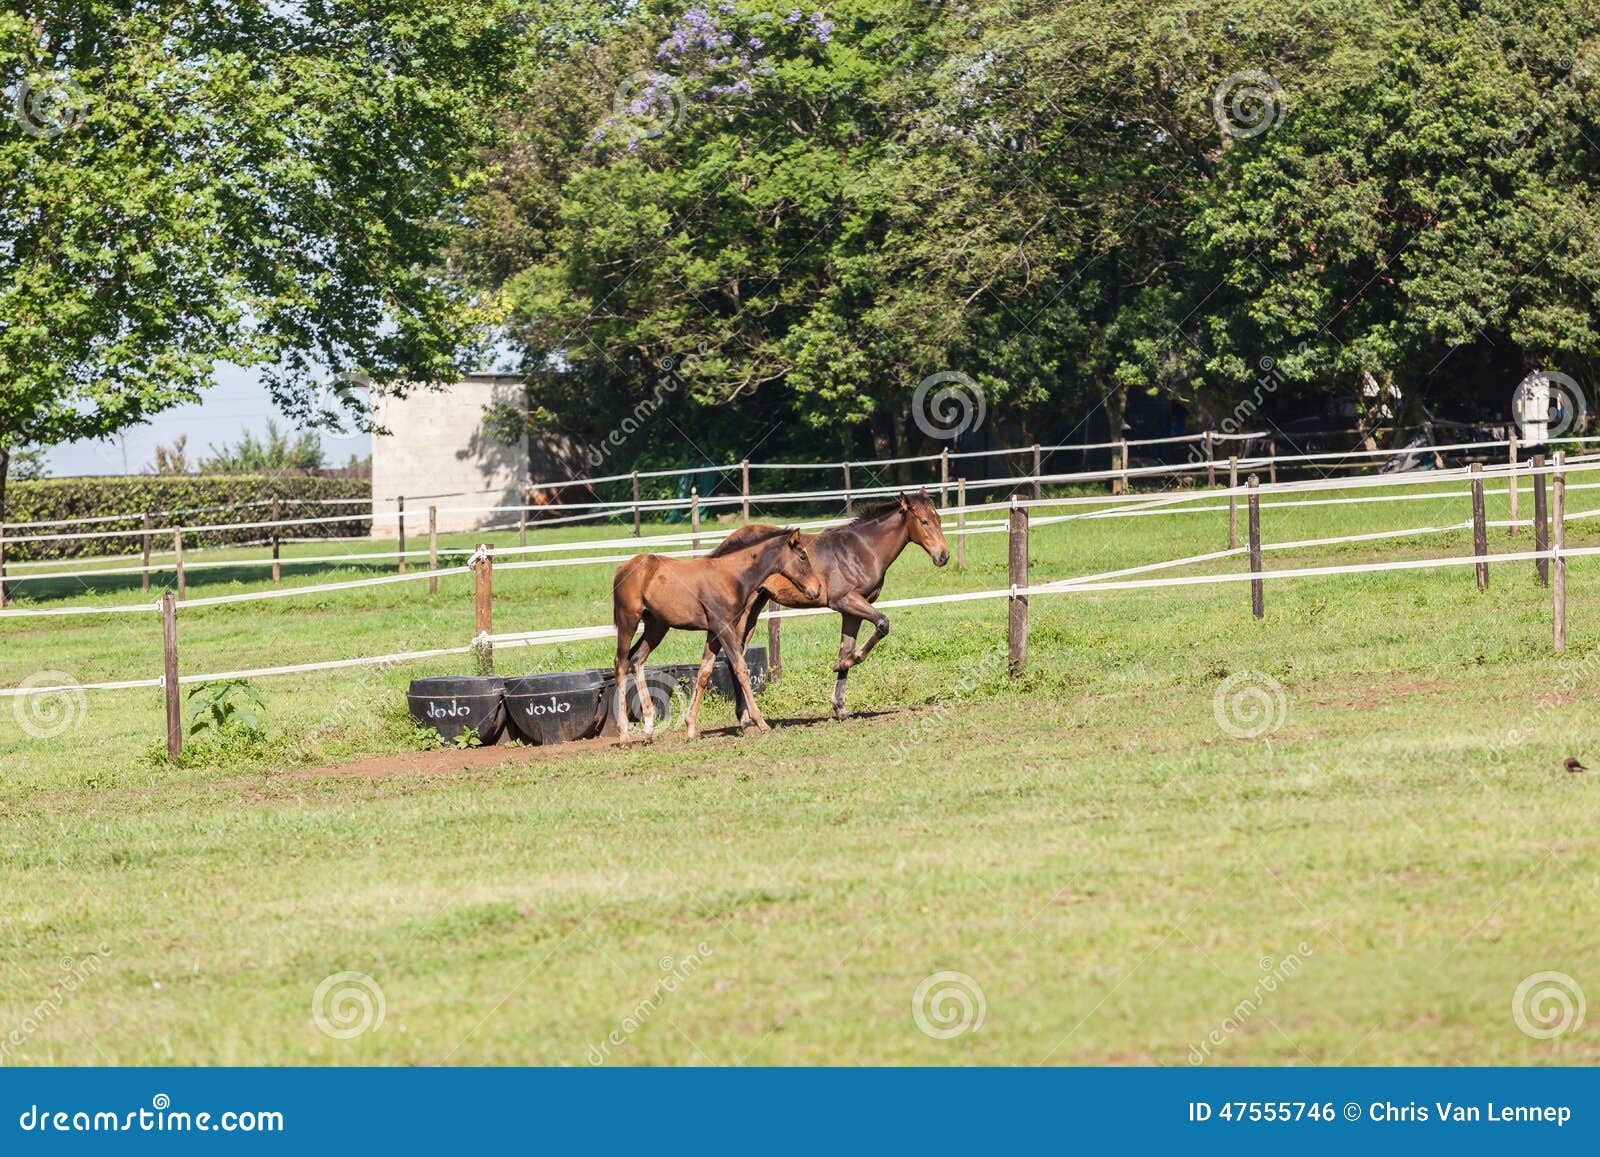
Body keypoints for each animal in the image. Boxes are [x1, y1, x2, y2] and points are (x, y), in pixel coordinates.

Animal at [612, 527, 822, 741]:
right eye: (803, 555)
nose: (817, 589)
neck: (731, 576)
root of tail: (622, 568)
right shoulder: (723, 627)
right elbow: (740, 668)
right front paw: (761, 722)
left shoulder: (713, 632)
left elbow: (705, 672)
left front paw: (690, 727)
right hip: (628, 619)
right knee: (621, 662)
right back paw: (624, 734)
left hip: (656, 626)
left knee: (637, 658)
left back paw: (648, 727)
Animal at [716, 489, 950, 723]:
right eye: (923, 521)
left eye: (939, 519)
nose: (943, 556)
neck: (864, 550)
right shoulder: (844, 599)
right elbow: (882, 624)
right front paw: (842, 665)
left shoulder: (852, 612)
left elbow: (846, 648)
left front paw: (840, 706)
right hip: (742, 612)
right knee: (735, 656)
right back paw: (746, 719)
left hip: (756, 607)